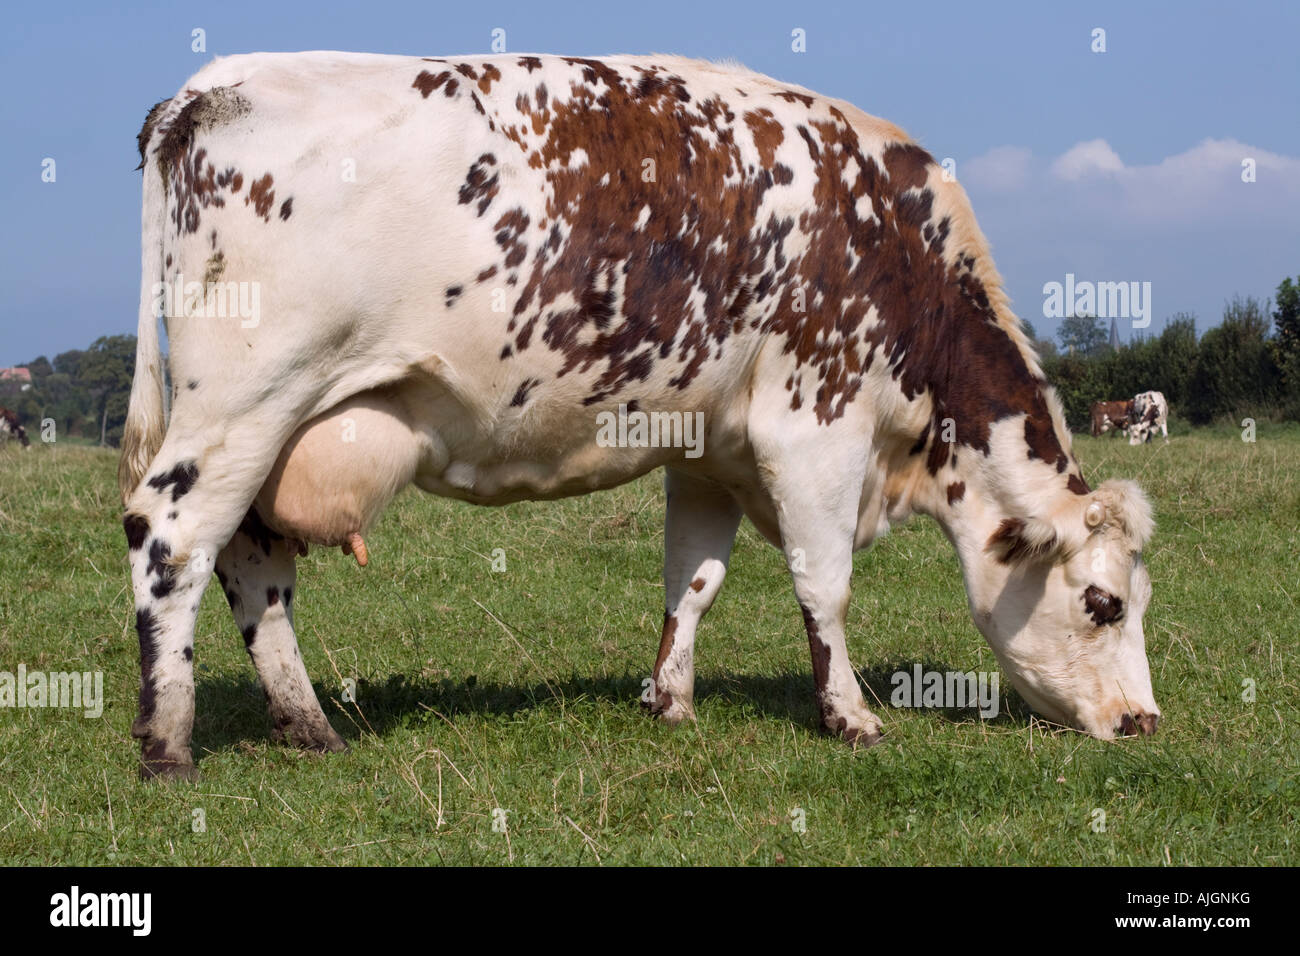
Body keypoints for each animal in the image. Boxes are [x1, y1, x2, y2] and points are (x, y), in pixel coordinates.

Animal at [119, 52, 1161, 781]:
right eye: (1103, 604)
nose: (1145, 722)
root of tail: (210, 86)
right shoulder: (815, 427)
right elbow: (825, 586)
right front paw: (851, 717)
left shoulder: (708, 448)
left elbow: (692, 581)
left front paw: (672, 700)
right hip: (245, 402)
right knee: (171, 538)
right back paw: (168, 743)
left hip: (270, 430)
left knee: (254, 562)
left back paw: (308, 726)